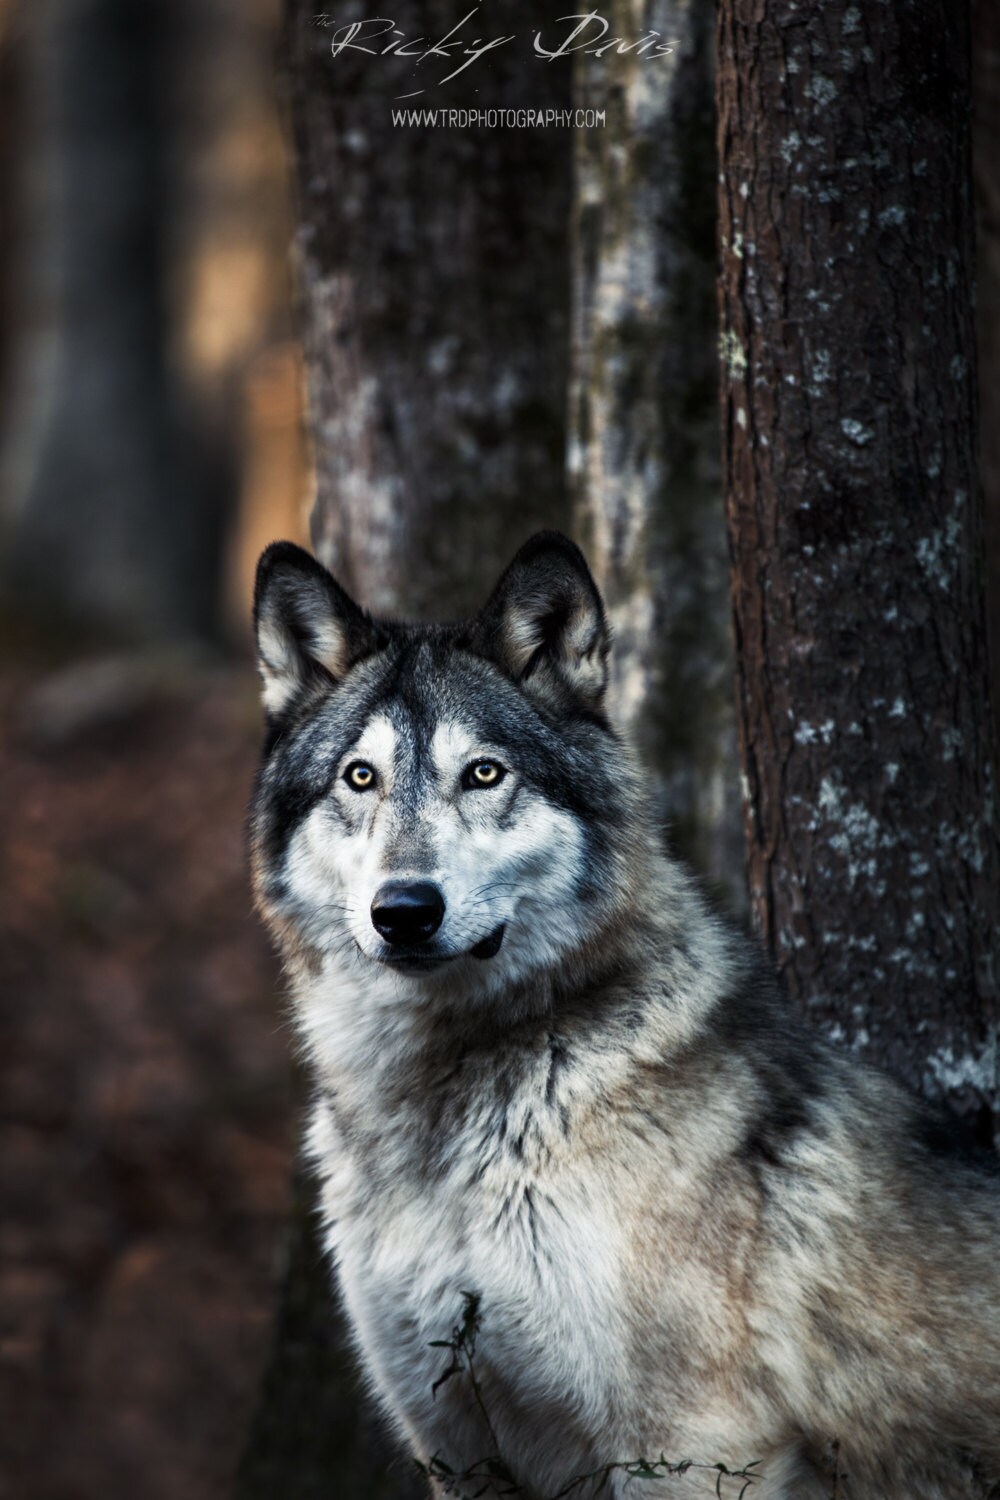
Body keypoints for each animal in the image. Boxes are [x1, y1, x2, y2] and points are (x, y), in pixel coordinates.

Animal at [250, 531, 1000, 1499]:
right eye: (359, 777)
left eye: (484, 774)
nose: (404, 910)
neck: (452, 1117)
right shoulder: (457, 1452)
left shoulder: (687, 1446)